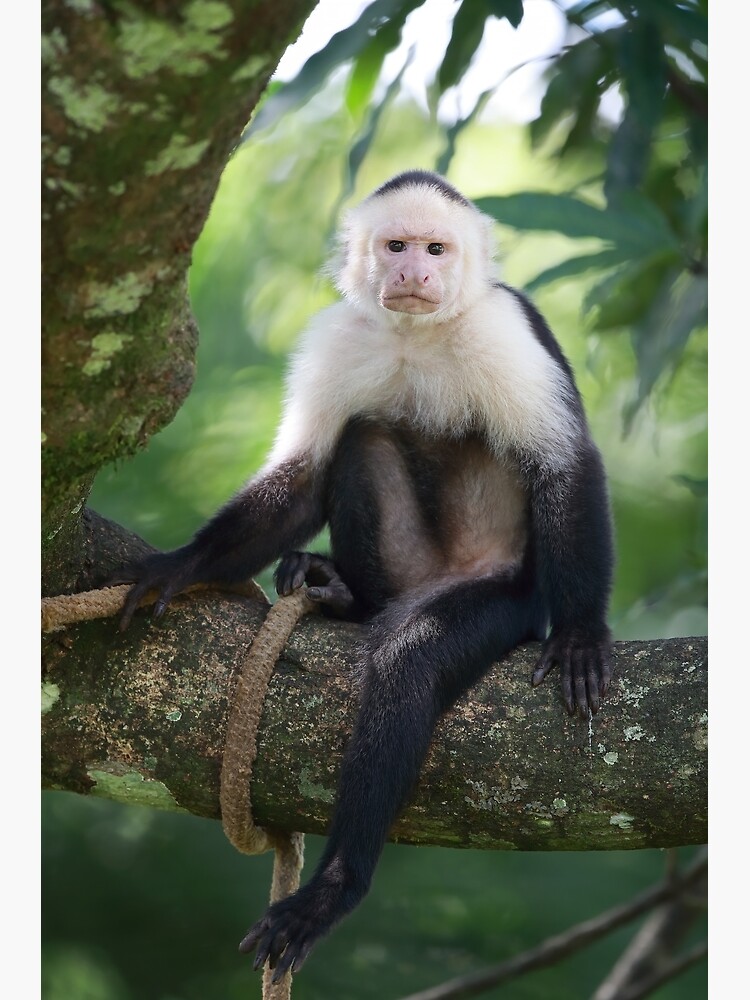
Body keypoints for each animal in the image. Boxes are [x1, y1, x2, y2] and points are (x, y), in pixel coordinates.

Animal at [111, 169, 614, 982]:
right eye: (397, 246)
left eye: (437, 249)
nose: (415, 274)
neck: (421, 335)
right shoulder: (337, 339)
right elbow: (305, 473)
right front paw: (179, 567)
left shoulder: (504, 326)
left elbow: (564, 467)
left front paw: (580, 637)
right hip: (406, 566)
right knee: (361, 437)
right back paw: (349, 596)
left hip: (500, 597)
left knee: (410, 661)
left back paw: (335, 889)